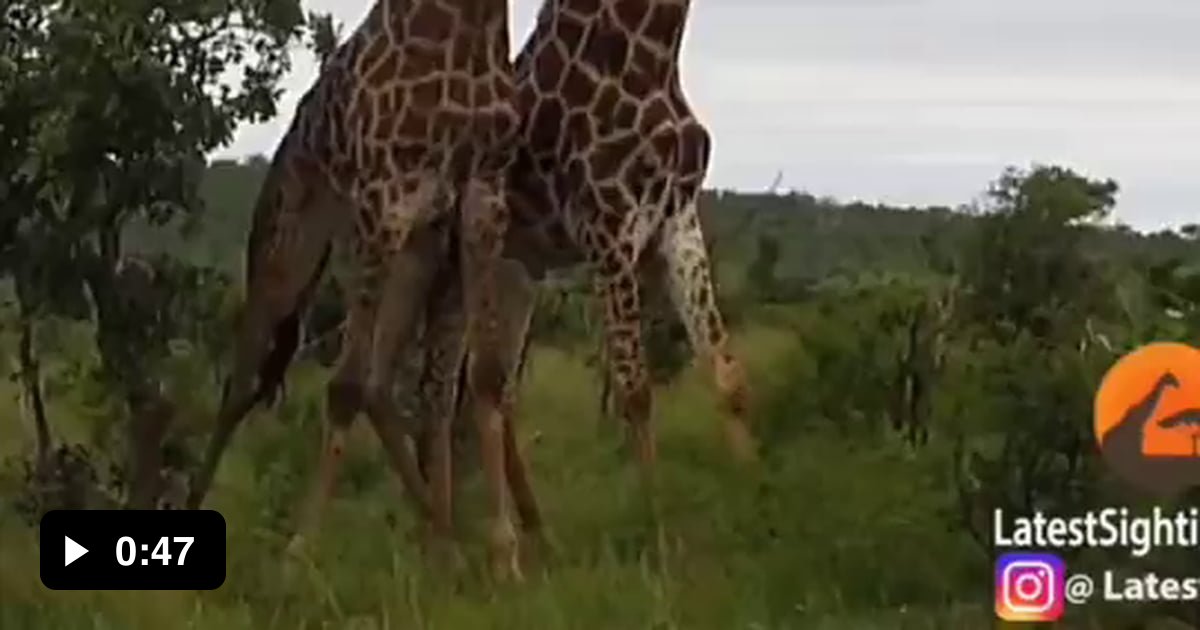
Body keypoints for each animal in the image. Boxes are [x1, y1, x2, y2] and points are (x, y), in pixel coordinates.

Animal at [183, 0, 528, 578]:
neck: (469, 24)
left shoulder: (483, 199)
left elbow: (487, 375)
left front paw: (505, 557)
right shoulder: (382, 201)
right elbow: (341, 386)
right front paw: (299, 554)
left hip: (417, 253)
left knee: (381, 385)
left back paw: (446, 542)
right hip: (287, 254)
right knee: (241, 383)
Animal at [407, 0, 757, 570]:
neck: (653, 57)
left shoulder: (677, 218)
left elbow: (726, 372)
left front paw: (757, 497)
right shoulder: (608, 227)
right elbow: (636, 393)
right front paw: (659, 540)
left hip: (518, 270)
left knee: (494, 385)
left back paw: (538, 538)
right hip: (454, 265)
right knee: (450, 383)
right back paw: (460, 549)